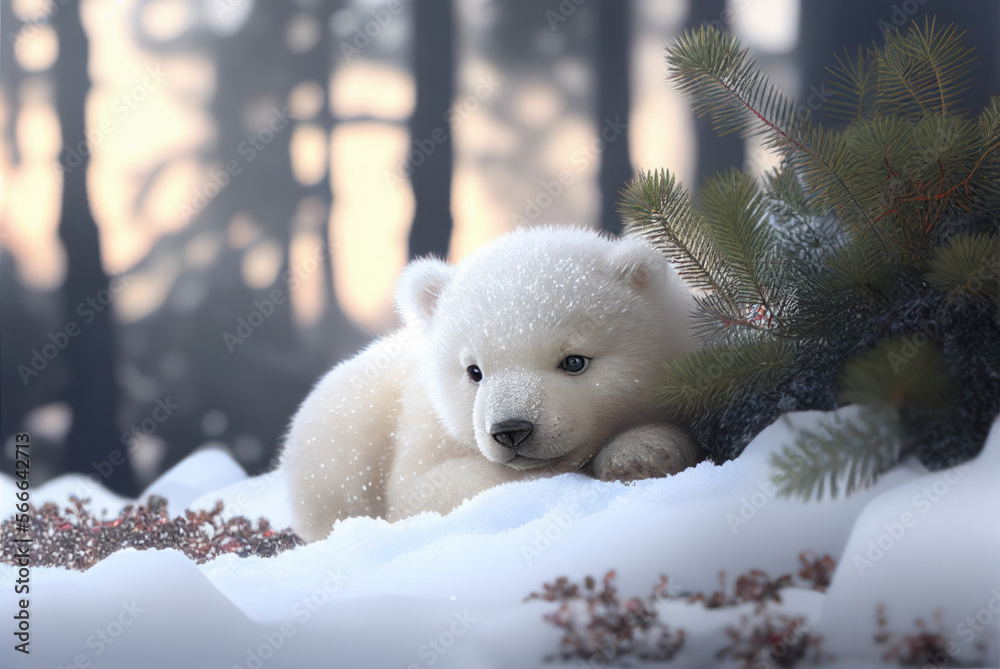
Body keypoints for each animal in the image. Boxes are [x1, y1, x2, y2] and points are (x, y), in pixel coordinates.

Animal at [279, 226, 701, 542]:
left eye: (574, 361)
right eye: (474, 371)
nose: (511, 430)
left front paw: (640, 453)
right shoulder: (423, 426)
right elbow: (424, 489)